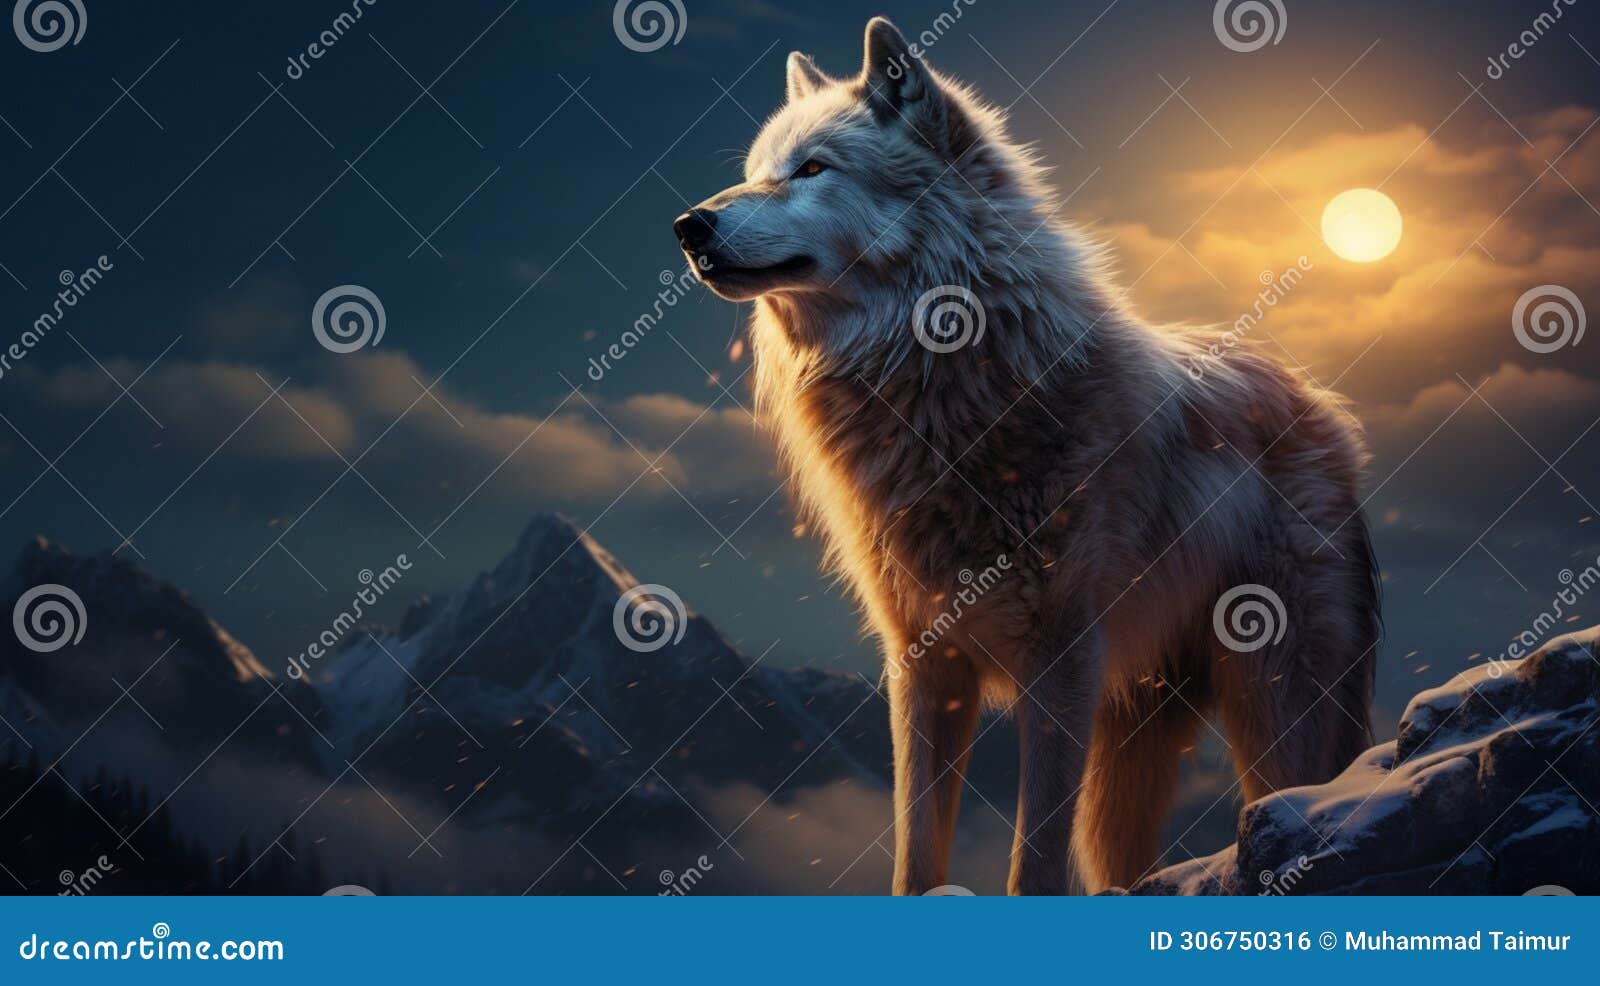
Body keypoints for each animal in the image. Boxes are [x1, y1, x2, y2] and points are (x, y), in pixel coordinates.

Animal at [674, 18, 1380, 895]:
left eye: (811, 169)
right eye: (754, 176)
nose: (689, 226)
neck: (943, 400)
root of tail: (1324, 407)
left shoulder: (1061, 665)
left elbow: (1032, 863)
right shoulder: (924, 667)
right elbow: (917, 852)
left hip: (1271, 702)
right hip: (1134, 742)